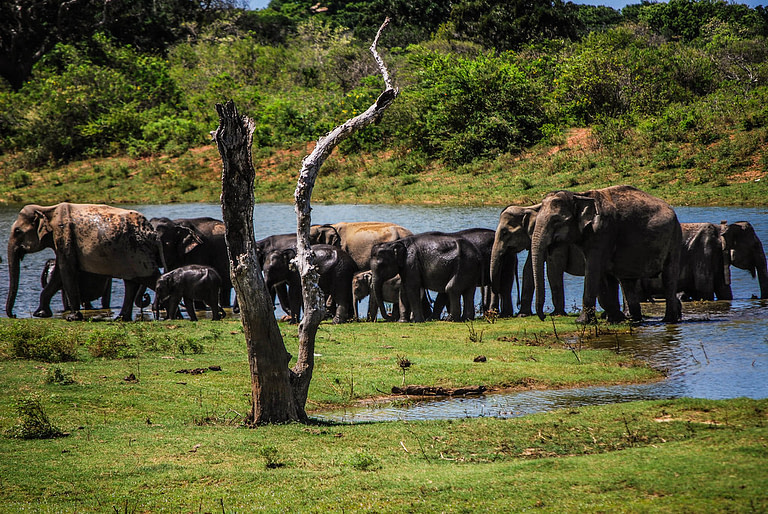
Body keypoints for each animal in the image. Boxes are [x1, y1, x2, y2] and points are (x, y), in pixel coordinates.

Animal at [7, 201, 164, 318]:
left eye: (18, 231)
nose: (14, 315)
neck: (46, 210)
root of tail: (151, 231)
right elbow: (58, 274)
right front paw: (40, 314)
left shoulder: (65, 236)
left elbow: (66, 270)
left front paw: (73, 317)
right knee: (131, 282)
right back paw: (121, 318)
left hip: (138, 251)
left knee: (150, 278)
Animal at [532, 184, 680, 322]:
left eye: (556, 221)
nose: (543, 317)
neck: (579, 195)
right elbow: (601, 274)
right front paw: (615, 319)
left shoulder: (603, 231)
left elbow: (593, 269)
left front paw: (582, 322)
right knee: (627, 281)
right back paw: (634, 318)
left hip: (674, 237)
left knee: (669, 277)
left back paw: (668, 320)